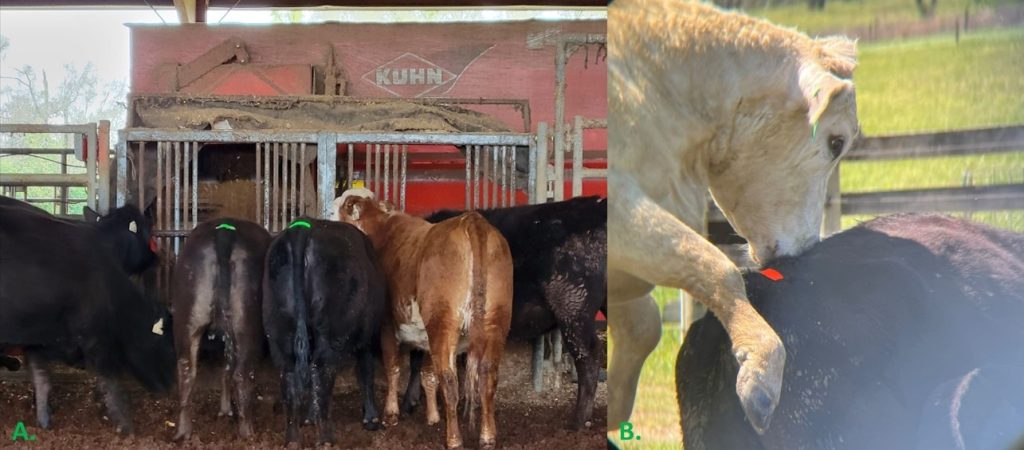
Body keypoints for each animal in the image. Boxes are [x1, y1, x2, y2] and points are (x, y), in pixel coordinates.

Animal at [0, 197, 174, 435]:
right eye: (150, 233)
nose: (169, 386)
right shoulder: (95, 340)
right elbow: (110, 381)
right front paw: (125, 424)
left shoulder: (36, 339)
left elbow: (42, 379)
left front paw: (44, 417)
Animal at [171, 218, 271, 441]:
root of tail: (224, 231)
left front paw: (225, 410)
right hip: (246, 322)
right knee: (242, 373)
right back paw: (247, 431)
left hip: (188, 315)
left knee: (186, 368)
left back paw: (183, 431)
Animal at [263, 217, 386, 445]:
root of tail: (304, 226)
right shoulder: (369, 335)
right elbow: (366, 371)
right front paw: (371, 418)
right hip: (330, 333)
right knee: (321, 370)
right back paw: (325, 438)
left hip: (279, 330)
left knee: (291, 375)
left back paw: (293, 439)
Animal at [333, 189, 514, 449]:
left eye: (336, 210)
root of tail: (471, 221)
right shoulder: (426, 337)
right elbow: (428, 375)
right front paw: (433, 417)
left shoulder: (388, 325)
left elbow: (393, 368)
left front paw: (391, 413)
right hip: (496, 321)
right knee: (488, 378)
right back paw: (487, 437)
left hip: (443, 323)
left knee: (449, 381)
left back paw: (454, 439)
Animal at [608, 0, 860, 432]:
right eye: (835, 141)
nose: (807, 248)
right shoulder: (619, 205)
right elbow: (717, 269)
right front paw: (761, 371)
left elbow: (644, 325)